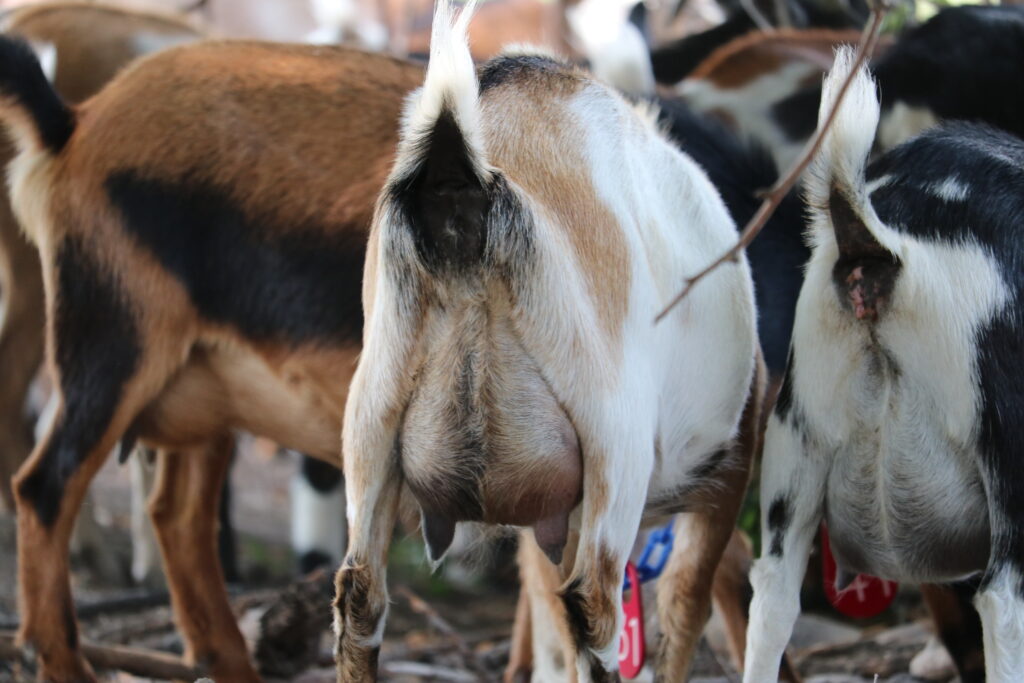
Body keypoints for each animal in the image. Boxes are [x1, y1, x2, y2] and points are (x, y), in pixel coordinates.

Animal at [0, 34, 423, 680]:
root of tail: (75, 123)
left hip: (204, 383)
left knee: (176, 514)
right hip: (112, 340)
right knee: (45, 488)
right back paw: (66, 665)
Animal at [336, 1, 760, 679]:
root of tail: (463, 185)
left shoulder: (553, 511)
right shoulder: (734, 452)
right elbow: (686, 602)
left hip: (371, 417)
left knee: (360, 597)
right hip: (616, 441)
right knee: (592, 605)